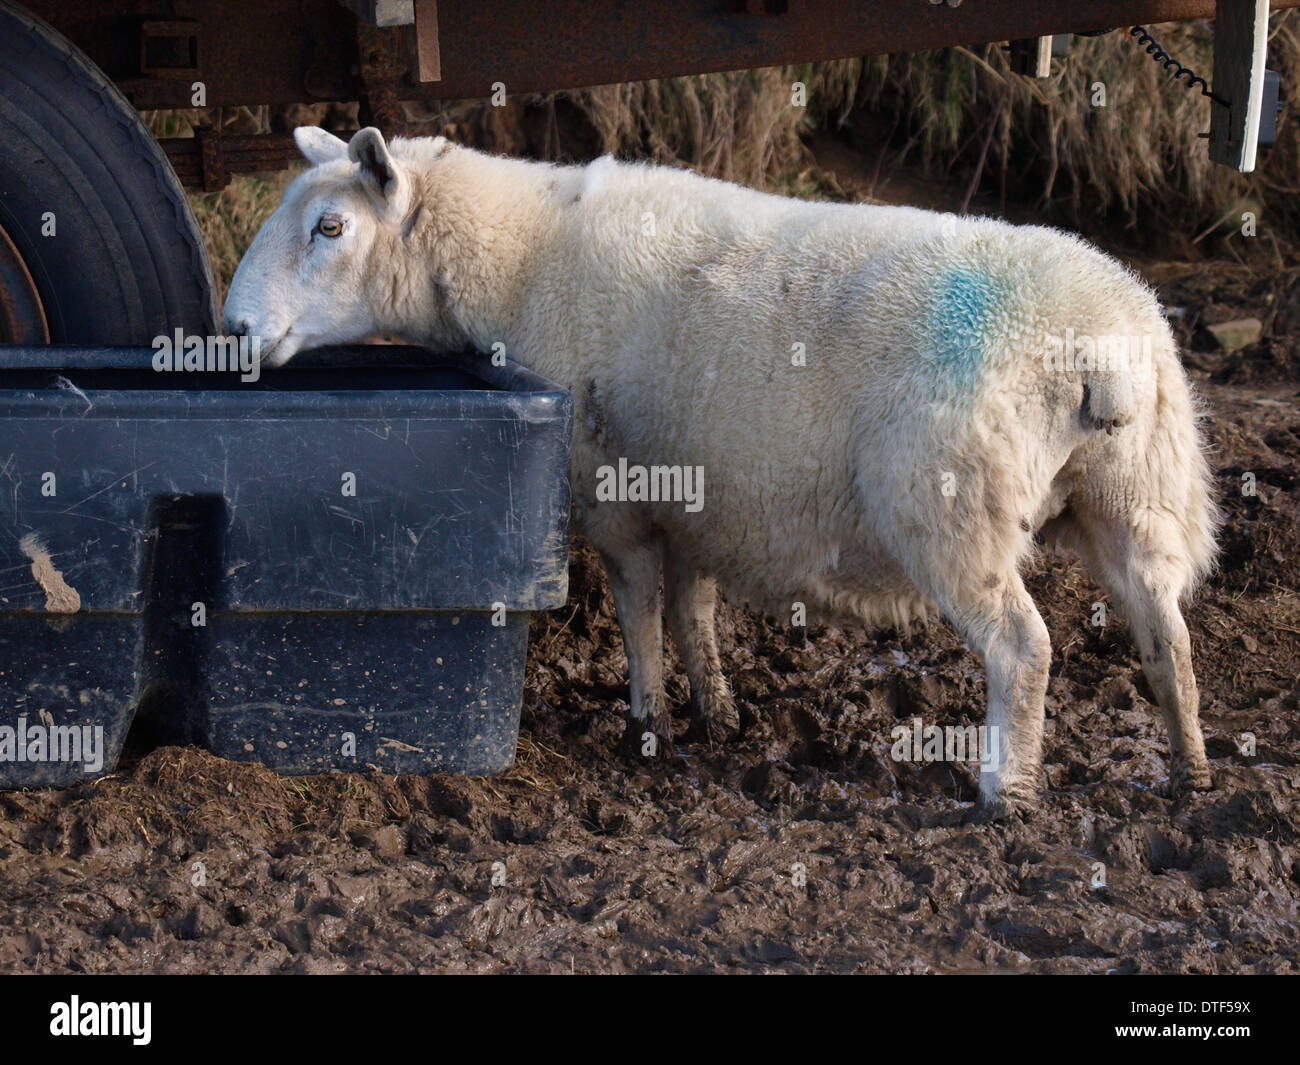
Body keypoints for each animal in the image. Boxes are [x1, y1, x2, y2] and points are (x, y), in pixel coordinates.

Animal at [224, 126, 1220, 816]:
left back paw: (1003, 792)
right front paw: (719, 712)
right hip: (1133, 498)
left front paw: (648, 721)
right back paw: (1191, 772)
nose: (231, 331)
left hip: (952, 506)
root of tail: (1110, 349)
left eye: (330, 226)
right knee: (1167, 636)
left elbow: (638, 612)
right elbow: (694, 608)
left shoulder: (612, 491)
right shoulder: (700, 496)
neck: (520, 257)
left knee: (1024, 648)